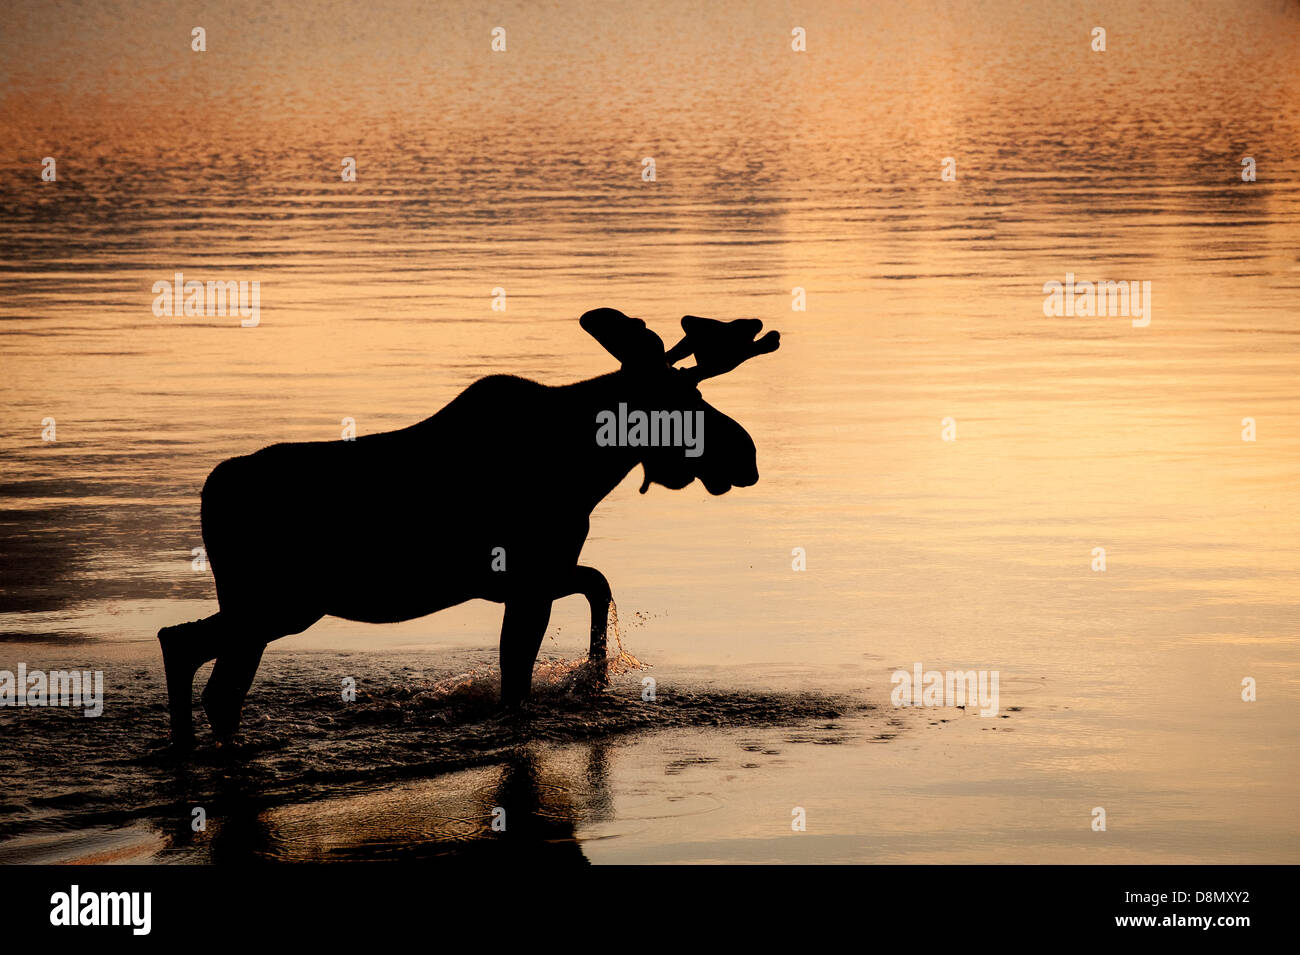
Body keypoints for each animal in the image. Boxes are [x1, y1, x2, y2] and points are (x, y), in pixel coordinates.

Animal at [157, 308, 780, 748]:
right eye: (687, 400)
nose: (746, 454)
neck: (587, 468)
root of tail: (210, 493)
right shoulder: (528, 580)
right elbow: (517, 676)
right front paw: (585, 680)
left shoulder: (535, 574)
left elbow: (599, 583)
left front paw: (594, 677)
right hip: (281, 604)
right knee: (199, 663)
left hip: (262, 605)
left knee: (189, 654)